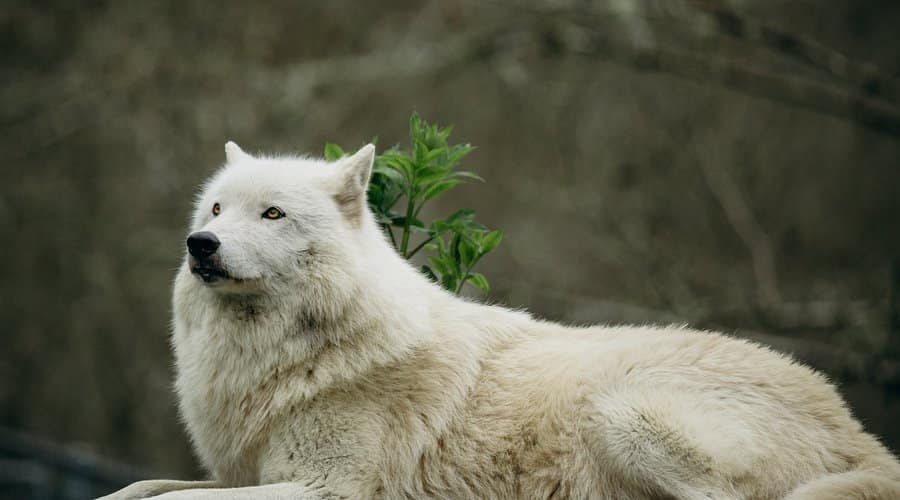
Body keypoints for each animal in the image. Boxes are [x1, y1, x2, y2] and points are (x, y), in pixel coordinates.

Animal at [102, 142, 900, 499]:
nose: (200, 245)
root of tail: (855, 428)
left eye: (271, 214)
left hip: (623, 414)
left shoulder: (325, 487)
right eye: (216, 209)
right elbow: (143, 491)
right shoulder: (242, 475)